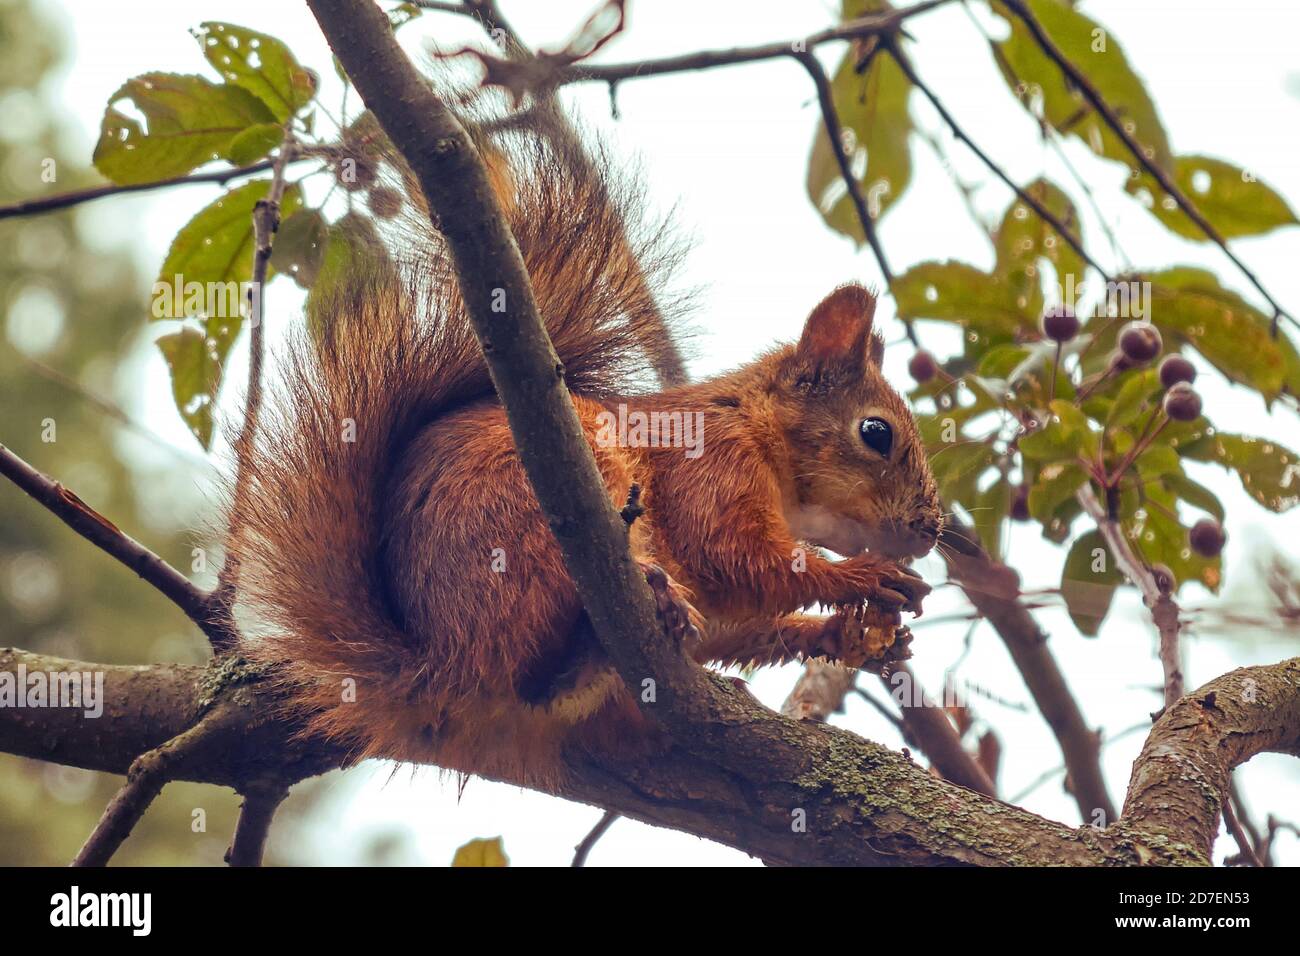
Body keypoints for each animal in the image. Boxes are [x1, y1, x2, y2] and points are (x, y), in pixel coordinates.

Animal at [228, 117, 942, 788]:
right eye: (877, 433)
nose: (932, 530)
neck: (756, 426)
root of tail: (439, 665)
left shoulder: (721, 594)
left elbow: (736, 619)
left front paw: (845, 634)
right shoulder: (711, 466)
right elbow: (740, 555)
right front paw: (866, 578)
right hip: (534, 515)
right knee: (535, 664)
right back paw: (630, 606)